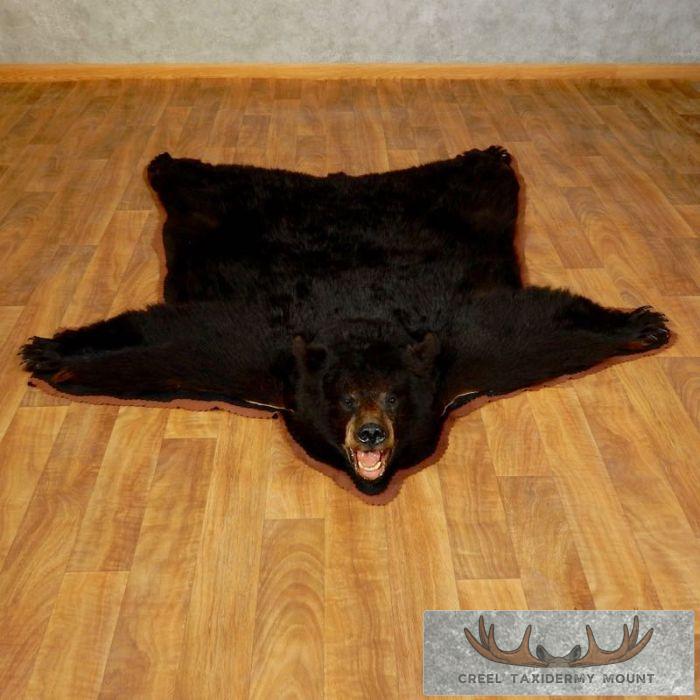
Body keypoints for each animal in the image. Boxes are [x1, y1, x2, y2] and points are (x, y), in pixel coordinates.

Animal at [21, 146, 670, 495]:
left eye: (394, 397)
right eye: (345, 398)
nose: (371, 434)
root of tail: (341, 186)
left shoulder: (463, 346)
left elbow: (531, 330)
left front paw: (640, 323)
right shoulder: (260, 355)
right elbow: (174, 346)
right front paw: (51, 351)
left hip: (470, 209)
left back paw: (484, 156)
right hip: (221, 210)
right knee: (203, 187)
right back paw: (166, 165)